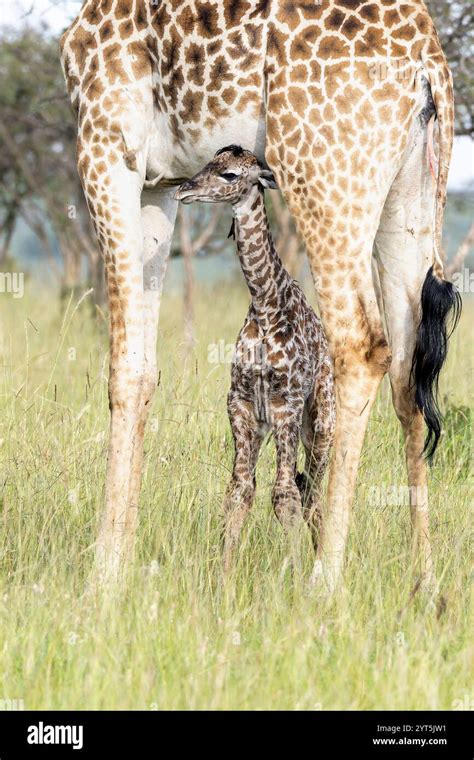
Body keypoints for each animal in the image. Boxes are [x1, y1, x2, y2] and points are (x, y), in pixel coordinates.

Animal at [175, 145, 335, 568]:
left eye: (230, 175)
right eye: (207, 163)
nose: (183, 189)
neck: (265, 306)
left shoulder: (286, 406)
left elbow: (284, 495)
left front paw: (295, 572)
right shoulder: (242, 404)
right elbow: (239, 490)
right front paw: (224, 572)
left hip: (322, 424)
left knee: (313, 494)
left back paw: (320, 562)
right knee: (305, 489)